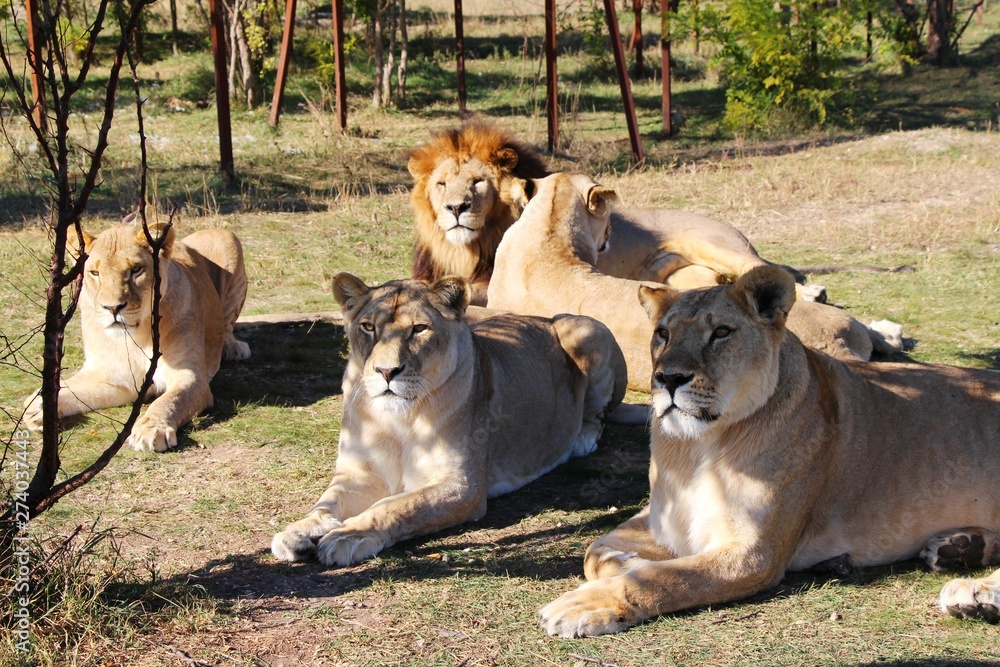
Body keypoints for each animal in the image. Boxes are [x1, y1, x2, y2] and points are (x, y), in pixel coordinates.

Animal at [23, 222, 250, 452]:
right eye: (95, 272)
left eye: (135, 270)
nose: (112, 307)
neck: (134, 338)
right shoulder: (116, 380)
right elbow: (70, 389)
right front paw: (38, 407)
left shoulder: (192, 377)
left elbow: (170, 400)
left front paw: (152, 428)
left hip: (226, 239)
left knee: (227, 325)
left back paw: (233, 348)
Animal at [271, 273, 628, 567]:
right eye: (368, 327)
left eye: (419, 329)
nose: (386, 371)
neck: (396, 420)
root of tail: (543, 318)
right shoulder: (357, 472)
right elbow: (326, 504)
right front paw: (297, 532)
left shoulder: (462, 486)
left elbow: (395, 507)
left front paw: (347, 536)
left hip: (585, 329)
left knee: (599, 414)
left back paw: (581, 440)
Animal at [539, 265, 1000, 637]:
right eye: (663, 334)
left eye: (721, 332)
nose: (667, 378)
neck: (698, 448)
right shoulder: (663, 517)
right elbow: (595, 551)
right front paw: (626, 559)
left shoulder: (755, 554)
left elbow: (664, 579)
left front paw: (589, 601)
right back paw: (960, 549)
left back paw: (974, 593)